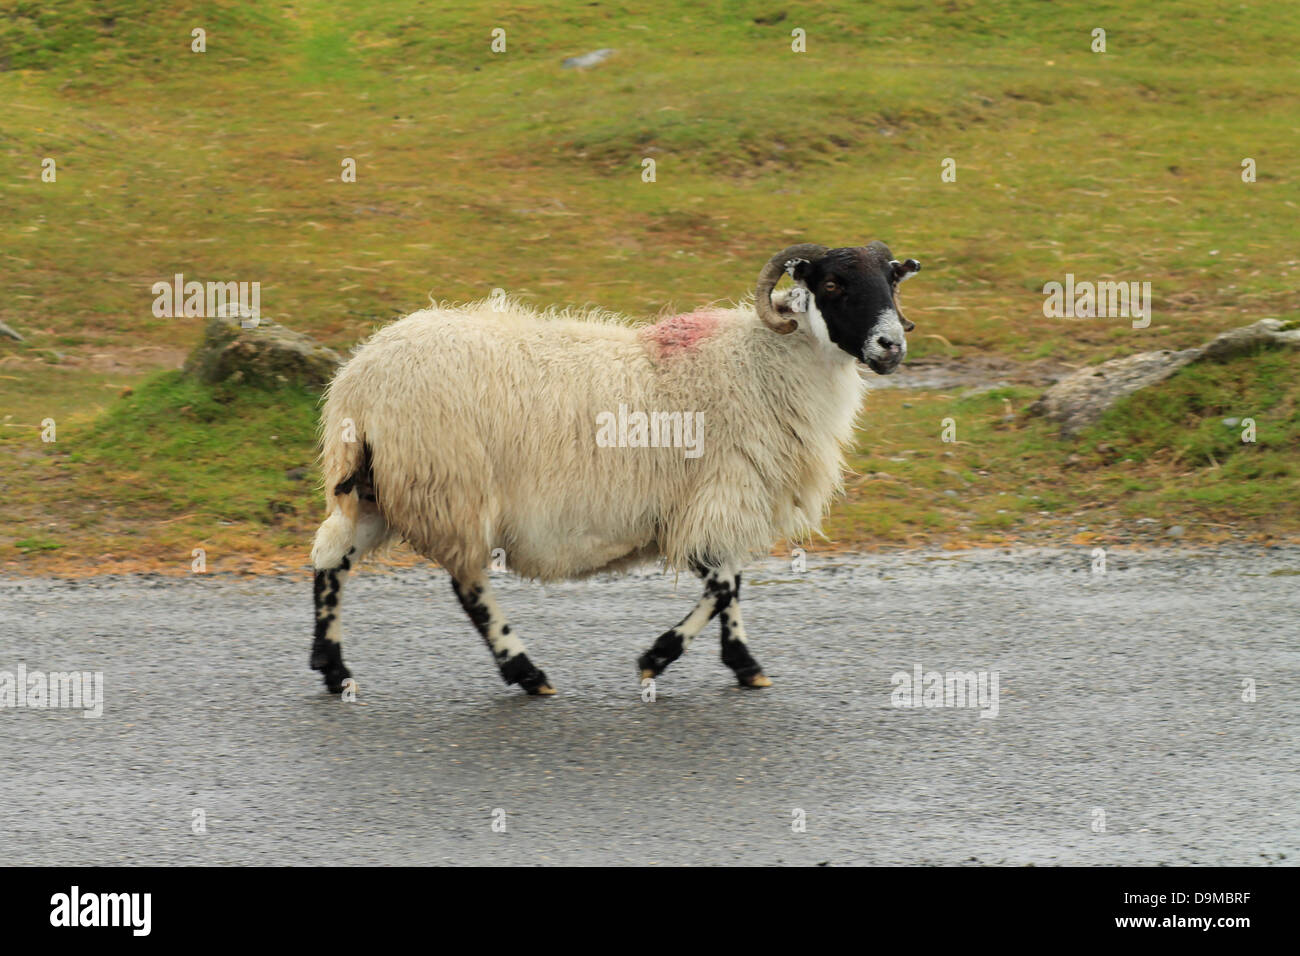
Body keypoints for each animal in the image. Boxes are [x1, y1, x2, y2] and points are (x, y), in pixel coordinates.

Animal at [309, 241, 922, 696]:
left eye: (892, 281)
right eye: (833, 285)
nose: (890, 346)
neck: (764, 361)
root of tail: (361, 381)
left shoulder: (720, 499)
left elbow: (730, 581)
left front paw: (743, 663)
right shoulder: (719, 492)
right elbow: (722, 583)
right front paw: (659, 657)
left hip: (379, 488)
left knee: (331, 558)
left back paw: (332, 668)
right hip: (449, 483)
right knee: (469, 586)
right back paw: (525, 671)